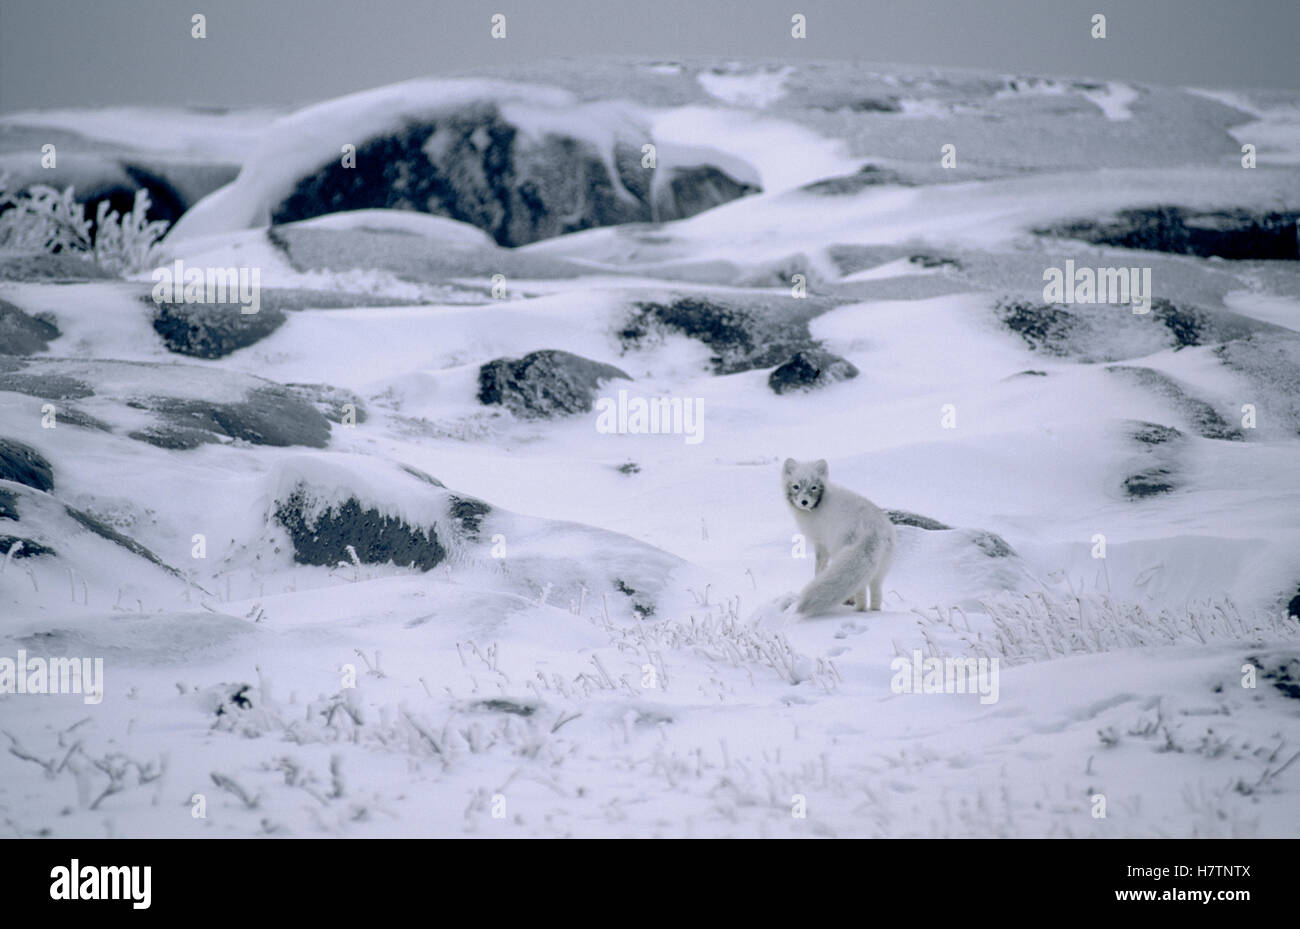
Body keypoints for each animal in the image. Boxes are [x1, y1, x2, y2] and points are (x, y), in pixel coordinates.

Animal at [783, 458, 895, 615]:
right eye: (796, 486)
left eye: (813, 487)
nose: (804, 502)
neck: (819, 505)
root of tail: (874, 531)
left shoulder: (821, 544)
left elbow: (819, 568)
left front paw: (816, 577)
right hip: (880, 570)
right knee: (876, 592)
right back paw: (874, 611)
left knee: (861, 592)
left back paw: (858, 609)